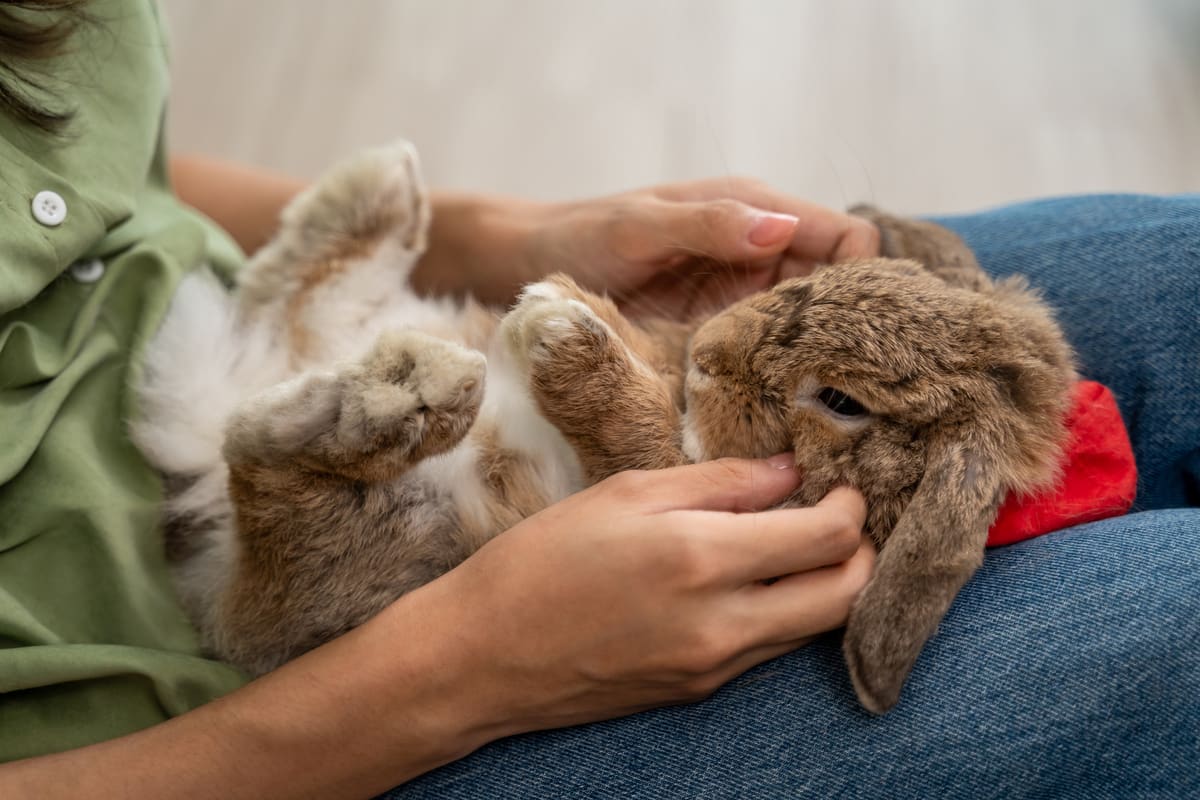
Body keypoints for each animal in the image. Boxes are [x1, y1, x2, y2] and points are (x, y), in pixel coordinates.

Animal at [133, 140, 1075, 714]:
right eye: (826, 280)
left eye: (842, 401)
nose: (713, 346)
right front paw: (574, 308)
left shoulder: (681, 476)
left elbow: (642, 433)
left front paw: (557, 327)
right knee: (287, 304)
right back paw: (381, 192)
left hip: (373, 542)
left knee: (271, 470)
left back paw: (406, 394)